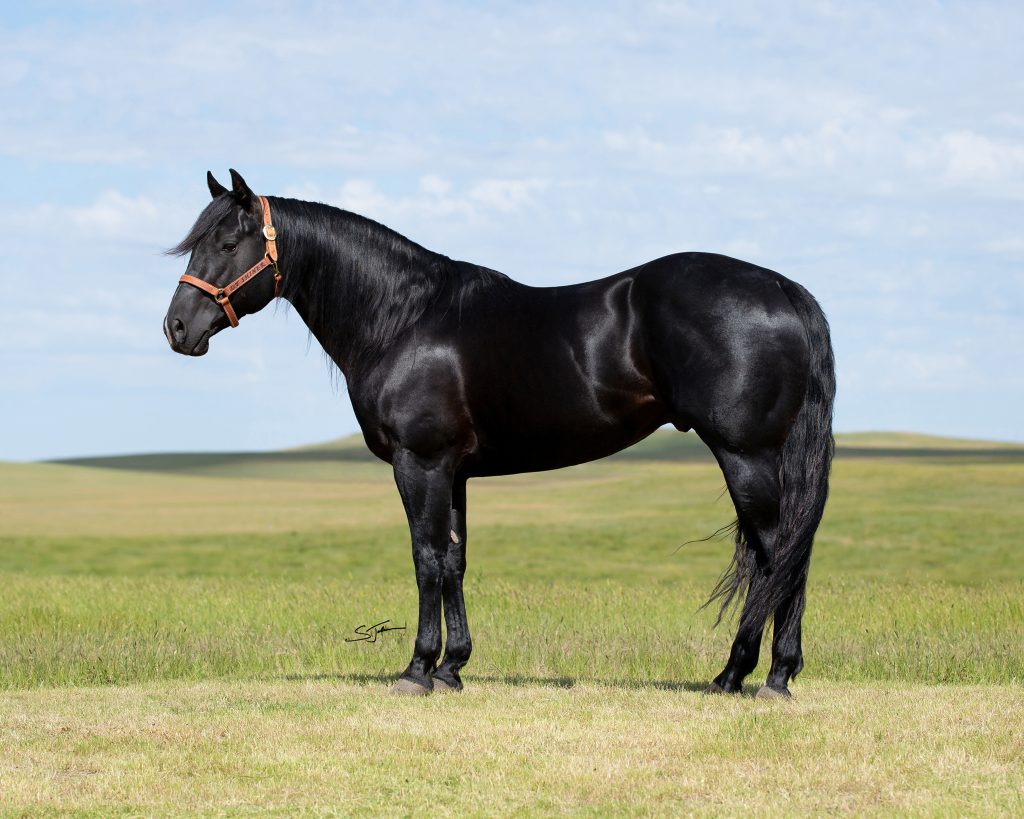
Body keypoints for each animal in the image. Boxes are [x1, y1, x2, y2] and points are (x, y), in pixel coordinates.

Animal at [163, 169, 835, 699]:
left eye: (228, 242)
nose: (176, 328)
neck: (403, 316)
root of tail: (781, 288)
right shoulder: (454, 470)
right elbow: (455, 559)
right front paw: (452, 668)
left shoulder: (420, 462)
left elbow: (426, 558)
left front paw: (416, 670)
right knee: (789, 555)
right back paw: (768, 675)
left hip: (745, 454)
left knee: (778, 555)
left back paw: (749, 676)